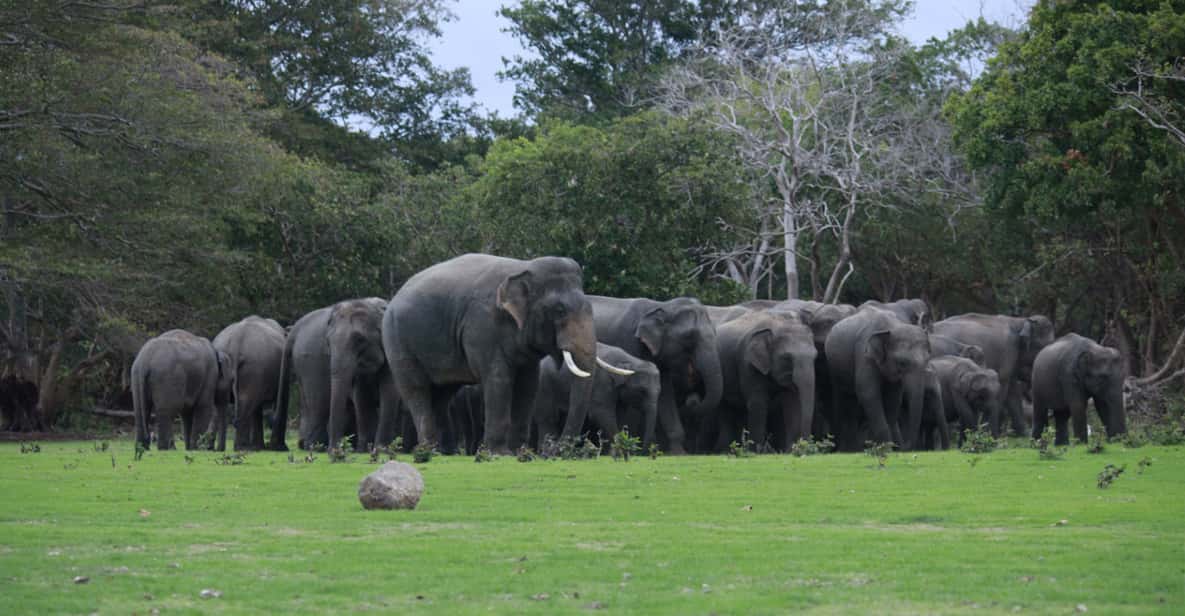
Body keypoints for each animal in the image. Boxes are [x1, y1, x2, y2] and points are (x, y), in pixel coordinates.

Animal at [273, 298, 399, 452]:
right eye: (328, 342)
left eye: (360, 339)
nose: (337, 449)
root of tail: (295, 329)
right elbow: (361, 396)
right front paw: (367, 450)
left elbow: (388, 391)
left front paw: (377, 449)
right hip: (311, 362)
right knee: (319, 403)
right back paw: (316, 447)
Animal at [383, 254, 629, 455]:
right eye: (559, 311)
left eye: (590, 307)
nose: (556, 451)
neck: (523, 267)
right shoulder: (482, 325)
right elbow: (498, 380)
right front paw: (499, 454)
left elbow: (528, 385)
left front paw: (519, 453)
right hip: (398, 342)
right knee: (417, 390)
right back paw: (429, 451)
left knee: (442, 395)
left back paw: (446, 453)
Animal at [588, 295, 723, 454]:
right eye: (689, 336)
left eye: (715, 332)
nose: (691, 402)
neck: (661, 306)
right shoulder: (629, 341)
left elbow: (665, 393)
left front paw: (678, 453)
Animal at [712, 310, 817, 452]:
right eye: (787, 357)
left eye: (816, 356)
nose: (804, 448)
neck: (779, 323)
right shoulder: (747, 363)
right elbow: (758, 404)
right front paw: (757, 452)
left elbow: (792, 403)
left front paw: (789, 451)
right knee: (725, 409)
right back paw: (725, 450)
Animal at [825, 307, 931, 451]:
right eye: (902, 363)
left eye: (928, 360)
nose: (907, 447)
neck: (892, 326)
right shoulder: (864, 353)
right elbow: (868, 393)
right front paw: (885, 449)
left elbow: (893, 398)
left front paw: (887, 447)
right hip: (834, 369)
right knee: (843, 399)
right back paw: (846, 450)